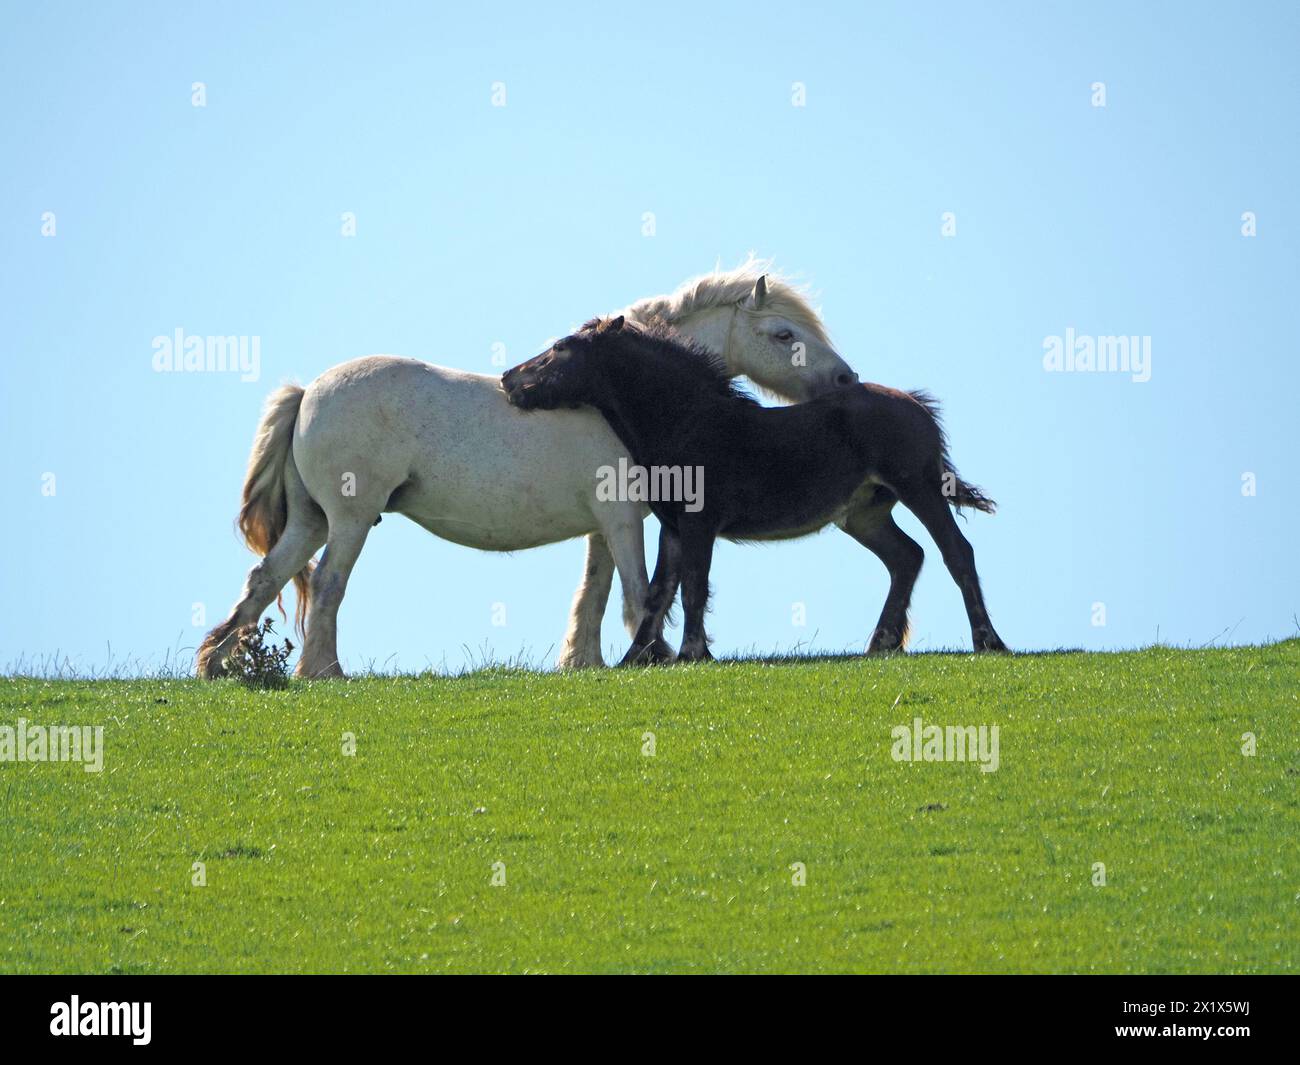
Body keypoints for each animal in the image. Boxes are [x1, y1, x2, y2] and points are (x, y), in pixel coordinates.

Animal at [196, 262, 859, 678]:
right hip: (351, 519)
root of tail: (309, 390)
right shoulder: (624, 519)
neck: (621, 398)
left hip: (311, 520)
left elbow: (596, 595)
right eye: (784, 333)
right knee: (330, 584)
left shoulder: (604, 525)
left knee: (265, 580)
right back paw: (325, 672)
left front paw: (586, 663)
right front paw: (654, 657)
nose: (846, 380)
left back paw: (218, 664)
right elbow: (637, 593)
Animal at [501, 316, 1008, 662]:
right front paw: (636, 659)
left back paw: (989, 642)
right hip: (865, 513)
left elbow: (694, 585)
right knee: (907, 557)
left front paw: (693, 654)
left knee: (956, 552)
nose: (509, 379)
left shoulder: (699, 521)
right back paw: (880, 643)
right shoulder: (673, 527)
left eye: (562, 347)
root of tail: (919, 407)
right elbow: (660, 591)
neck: (686, 421)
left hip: (920, 488)